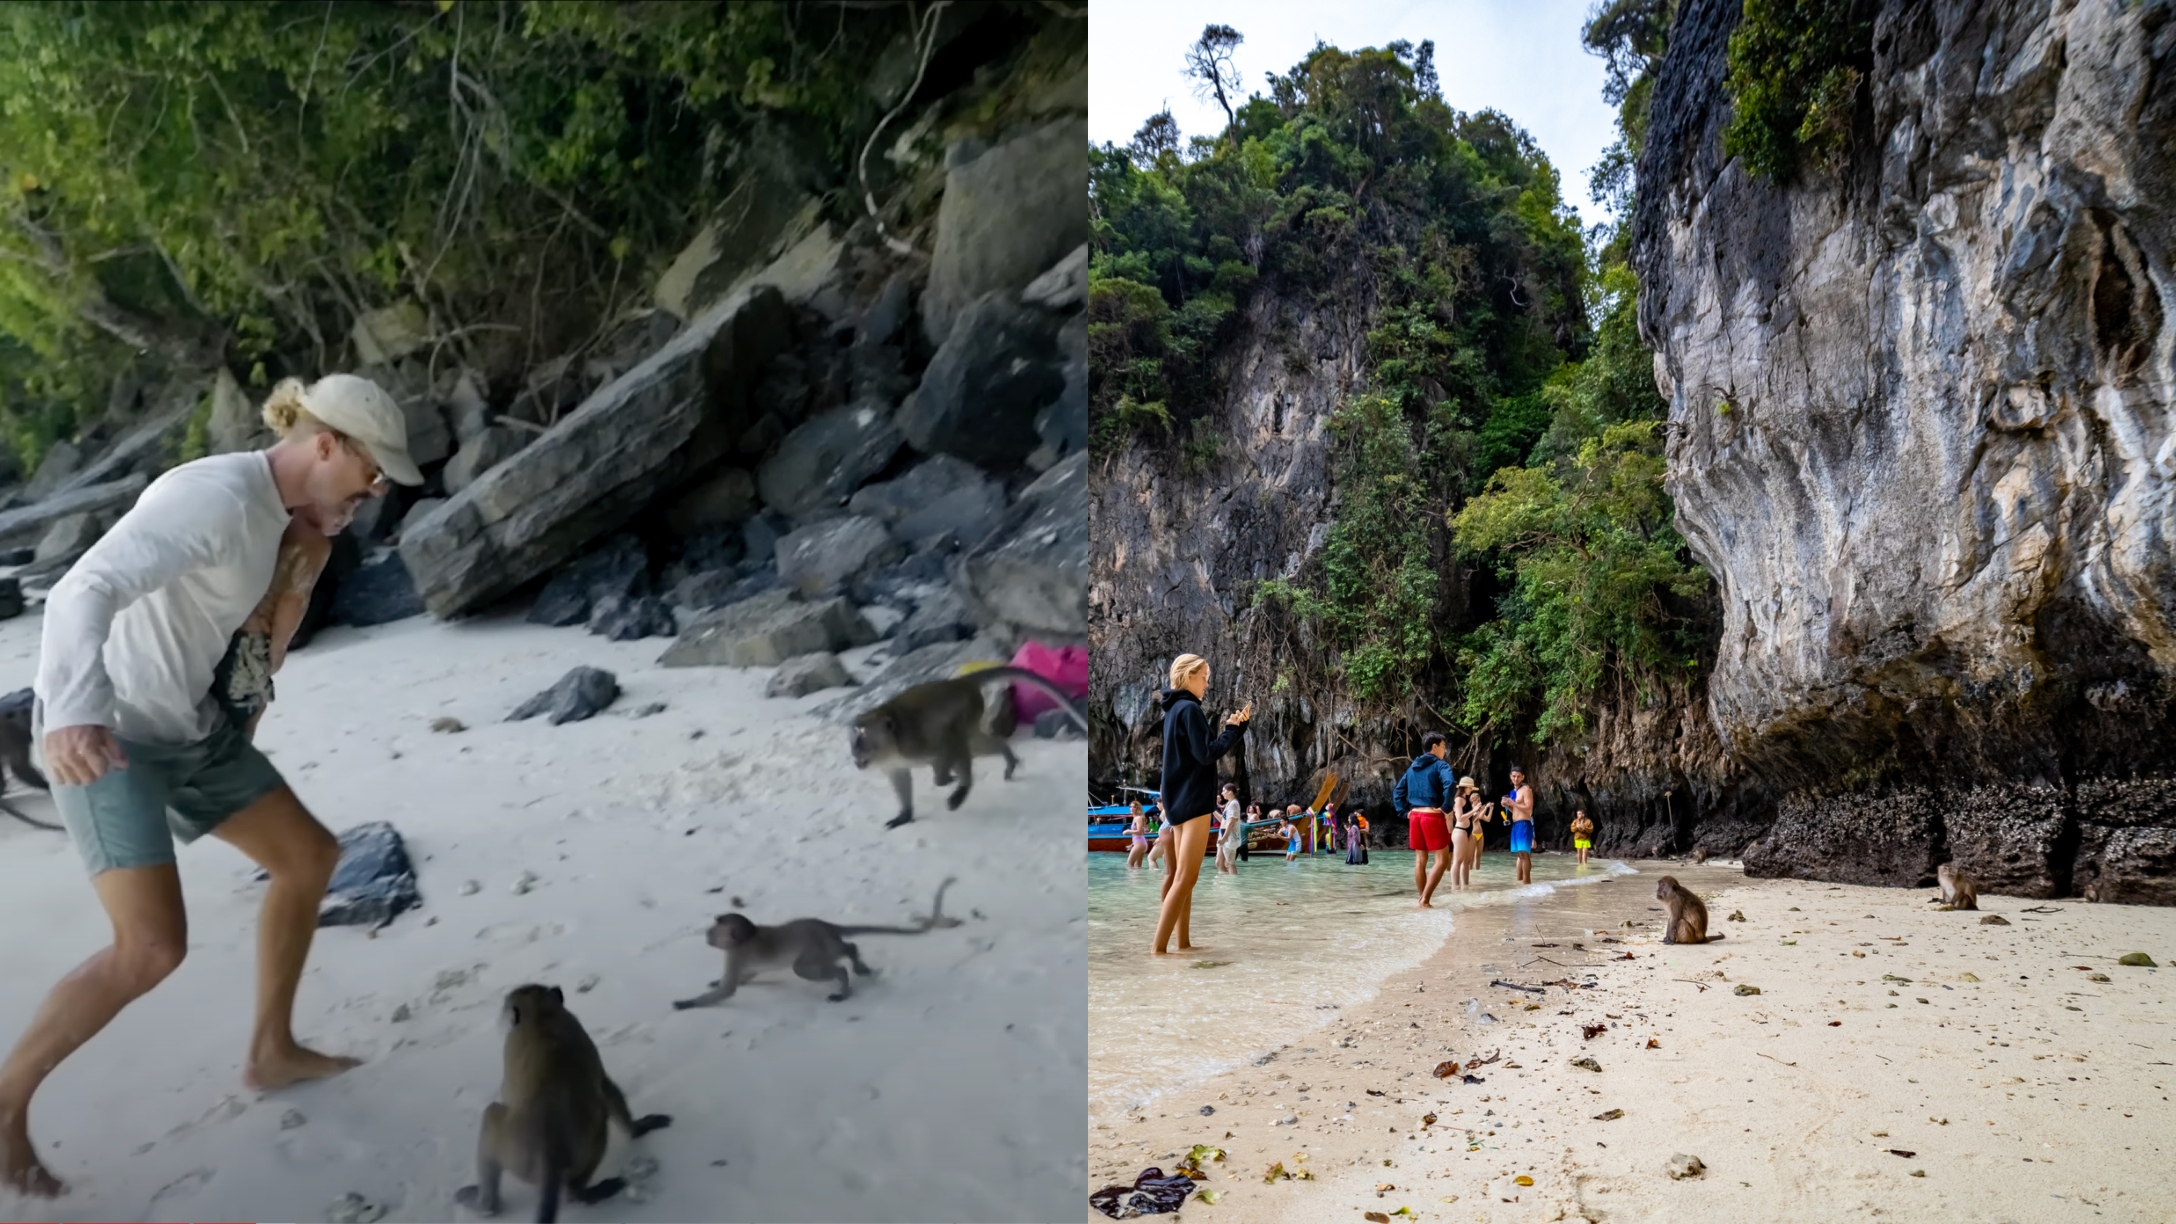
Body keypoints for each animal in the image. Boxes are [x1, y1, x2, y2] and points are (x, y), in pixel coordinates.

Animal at [454, 984, 672, 1223]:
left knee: (491, 1113)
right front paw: (638, 1128)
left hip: (513, 1147)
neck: (540, 1014)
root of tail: (549, 1150)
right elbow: (605, 1085)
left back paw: (487, 1205)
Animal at [673, 877, 961, 1008]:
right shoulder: (742, 960)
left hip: (815, 949)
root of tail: (826, 925)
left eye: (713, 931)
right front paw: (715, 982)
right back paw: (856, 960)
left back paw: (844, 982)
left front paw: (688, 1003)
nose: (707, 936)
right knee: (845, 948)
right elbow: (744, 977)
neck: (747, 937)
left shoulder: (736, 954)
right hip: (828, 945)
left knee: (808, 968)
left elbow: (729, 989)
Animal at [849, 666, 1087, 828]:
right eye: (853, 742)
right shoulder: (893, 763)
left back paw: (962, 789)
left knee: (958, 740)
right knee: (977, 745)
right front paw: (905, 815)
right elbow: (901, 778)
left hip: (968, 710)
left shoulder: (915, 743)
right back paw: (1007, 756)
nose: (855, 756)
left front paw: (945, 779)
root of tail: (960, 683)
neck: (892, 746)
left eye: (863, 741)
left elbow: (945, 746)